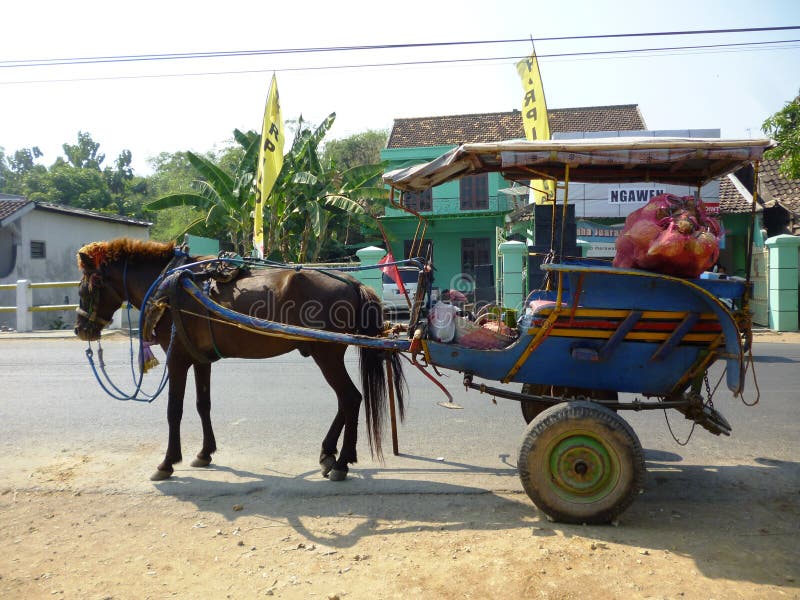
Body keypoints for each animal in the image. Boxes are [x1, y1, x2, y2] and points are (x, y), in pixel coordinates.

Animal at [74, 238, 405, 482]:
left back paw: (341, 462)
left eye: (87, 285)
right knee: (345, 401)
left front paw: (167, 462)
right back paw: (328, 454)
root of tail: (353, 282)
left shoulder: (177, 358)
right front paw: (205, 453)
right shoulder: (200, 359)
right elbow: (203, 404)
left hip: (326, 353)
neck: (170, 284)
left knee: (350, 398)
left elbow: (174, 411)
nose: (80, 330)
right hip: (325, 352)